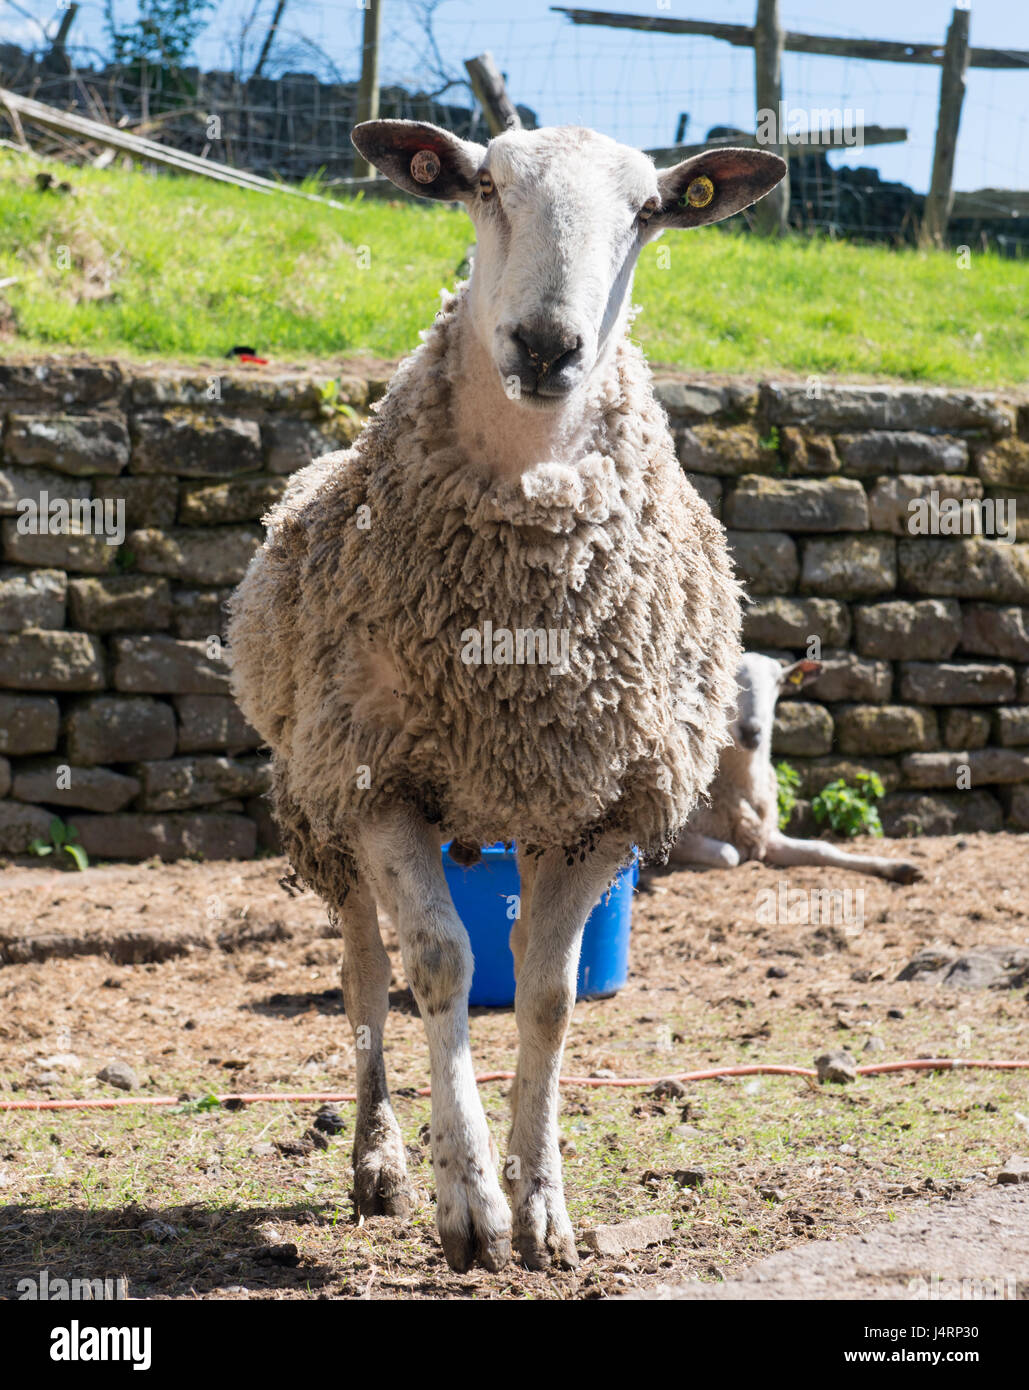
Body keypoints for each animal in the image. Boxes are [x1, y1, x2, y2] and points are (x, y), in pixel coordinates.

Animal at [228, 121, 786, 1273]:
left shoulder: (599, 806)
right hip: (319, 798)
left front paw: (543, 1211)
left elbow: (549, 996)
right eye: (483, 186)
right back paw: (378, 1164)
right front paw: (470, 1207)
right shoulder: (379, 781)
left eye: (651, 211)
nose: (543, 345)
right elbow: (441, 966)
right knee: (363, 974)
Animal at [670, 652, 923, 882]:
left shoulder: (767, 835)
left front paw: (897, 867)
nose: (751, 731)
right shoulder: (679, 837)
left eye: (778, 682)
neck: (741, 786)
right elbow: (729, 854)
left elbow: (822, 848)